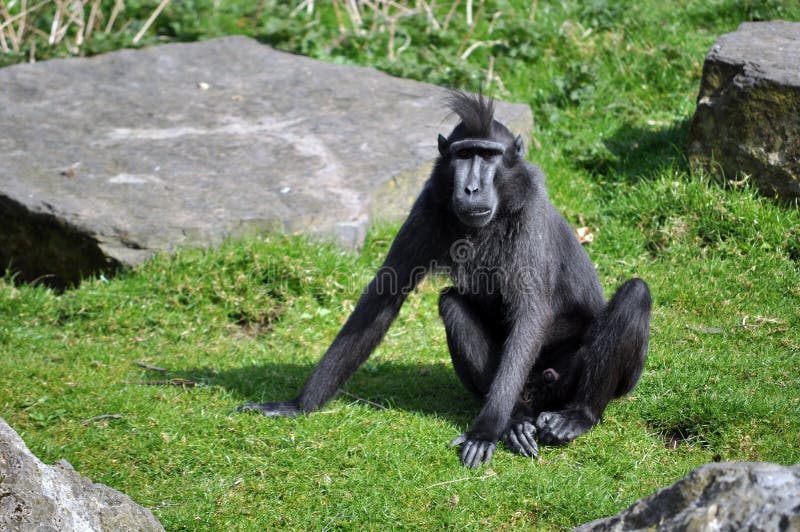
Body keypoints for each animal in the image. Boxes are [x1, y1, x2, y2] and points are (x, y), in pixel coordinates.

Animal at [239, 92, 651, 468]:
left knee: (636, 293)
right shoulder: (427, 205)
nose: (471, 189)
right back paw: (517, 421)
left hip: (590, 379)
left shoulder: (530, 211)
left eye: (489, 155)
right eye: (464, 154)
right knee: (451, 303)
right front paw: (296, 405)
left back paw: (576, 417)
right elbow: (381, 299)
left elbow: (531, 313)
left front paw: (484, 431)